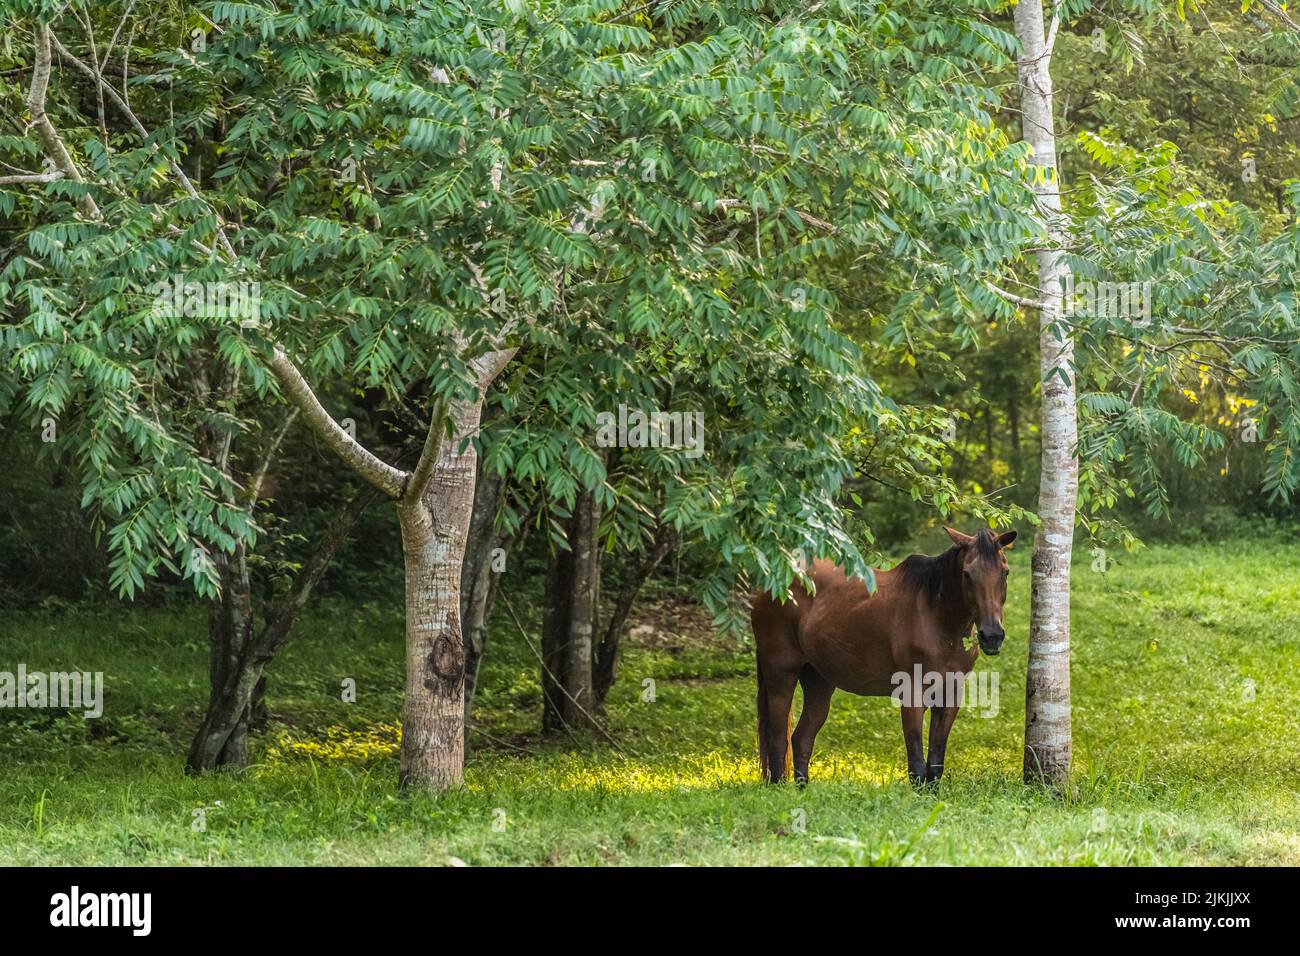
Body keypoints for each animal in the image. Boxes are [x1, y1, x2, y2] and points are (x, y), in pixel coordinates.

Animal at [751, 526, 1017, 788]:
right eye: (967, 574)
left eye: (1005, 572)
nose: (992, 636)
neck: (937, 618)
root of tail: (771, 585)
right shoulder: (912, 694)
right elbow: (918, 767)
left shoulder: (950, 695)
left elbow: (935, 765)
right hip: (781, 675)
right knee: (778, 740)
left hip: (818, 681)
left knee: (801, 739)